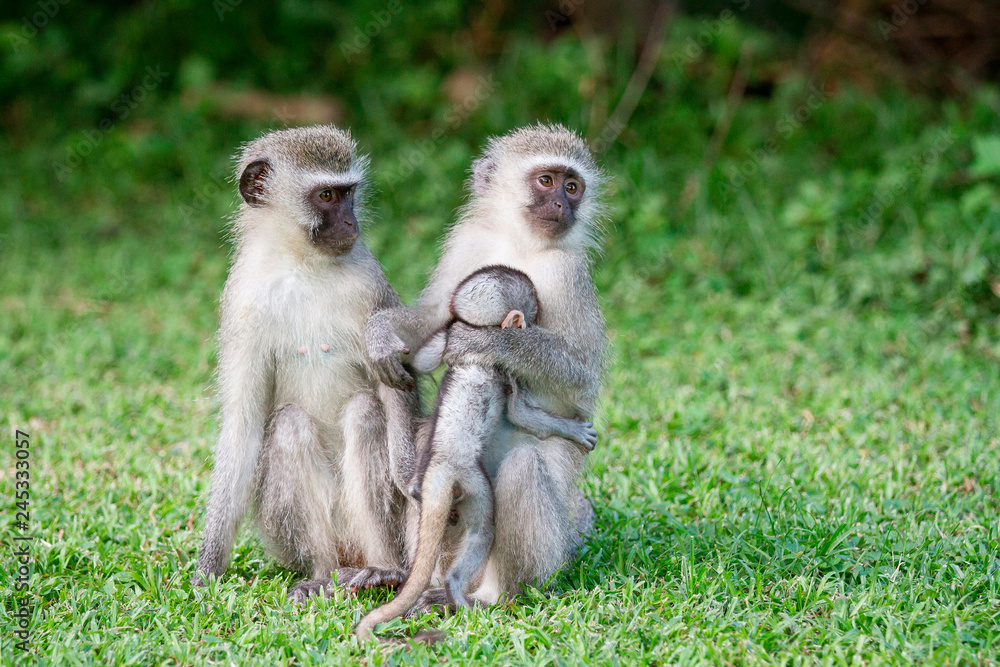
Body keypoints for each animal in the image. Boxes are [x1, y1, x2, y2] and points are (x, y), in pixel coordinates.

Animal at [194, 125, 421, 603]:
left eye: (349, 194)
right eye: (327, 196)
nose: (352, 224)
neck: (301, 265)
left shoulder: (369, 286)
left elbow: (394, 385)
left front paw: (409, 473)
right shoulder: (242, 303)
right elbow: (243, 426)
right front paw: (206, 570)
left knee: (365, 413)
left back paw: (386, 570)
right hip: (287, 535)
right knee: (288, 426)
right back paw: (322, 574)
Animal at [354, 265, 597, 638]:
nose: (533, 324)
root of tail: (439, 477)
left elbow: (426, 357)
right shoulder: (503, 372)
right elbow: (519, 413)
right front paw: (571, 429)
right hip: (471, 483)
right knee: (483, 528)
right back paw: (459, 589)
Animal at [366, 123, 606, 613]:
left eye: (573, 187)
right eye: (547, 181)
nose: (563, 204)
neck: (522, 243)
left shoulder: (568, 272)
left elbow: (581, 380)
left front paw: (487, 341)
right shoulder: (469, 244)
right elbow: (432, 318)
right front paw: (380, 334)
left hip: (548, 544)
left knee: (522, 468)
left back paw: (493, 595)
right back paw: (427, 583)